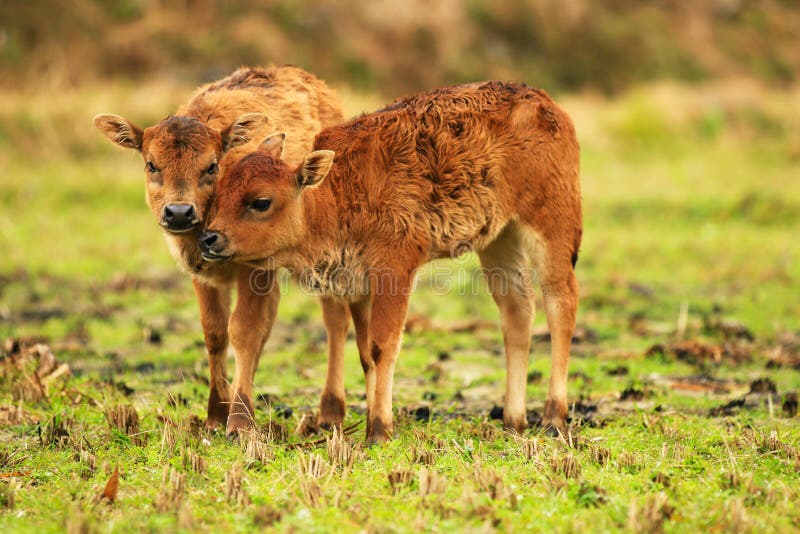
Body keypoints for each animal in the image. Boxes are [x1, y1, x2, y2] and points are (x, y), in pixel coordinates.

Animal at [94, 65, 351, 436]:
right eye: (151, 164)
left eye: (211, 165)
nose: (179, 212)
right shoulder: (204, 274)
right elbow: (215, 333)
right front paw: (216, 415)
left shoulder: (254, 271)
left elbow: (243, 330)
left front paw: (240, 421)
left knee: (335, 320)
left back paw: (330, 412)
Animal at [199, 81, 582, 443]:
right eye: (219, 192)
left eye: (261, 202)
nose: (209, 238)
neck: (332, 193)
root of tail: (549, 106)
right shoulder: (358, 285)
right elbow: (365, 352)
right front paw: (372, 419)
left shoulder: (394, 272)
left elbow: (383, 346)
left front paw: (379, 430)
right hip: (499, 240)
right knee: (517, 312)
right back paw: (513, 421)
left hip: (550, 228)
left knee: (560, 305)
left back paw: (553, 419)